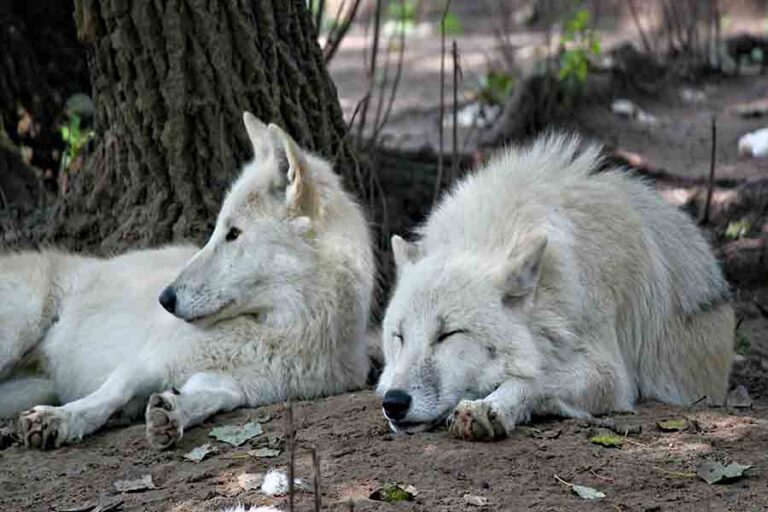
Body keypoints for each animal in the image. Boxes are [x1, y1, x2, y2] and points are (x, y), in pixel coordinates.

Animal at [0, 112, 374, 450]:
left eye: (233, 233)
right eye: (218, 230)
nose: (164, 299)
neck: (280, 330)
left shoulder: (235, 384)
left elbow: (208, 398)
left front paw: (172, 412)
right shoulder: (146, 359)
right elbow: (109, 393)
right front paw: (58, 419)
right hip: (16, 334)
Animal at [377, 134, 734, 441]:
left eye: (447, 334)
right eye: (399, 336)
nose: (394, 402)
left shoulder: (610, 373)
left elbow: (534, 377)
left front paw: (489, 407)